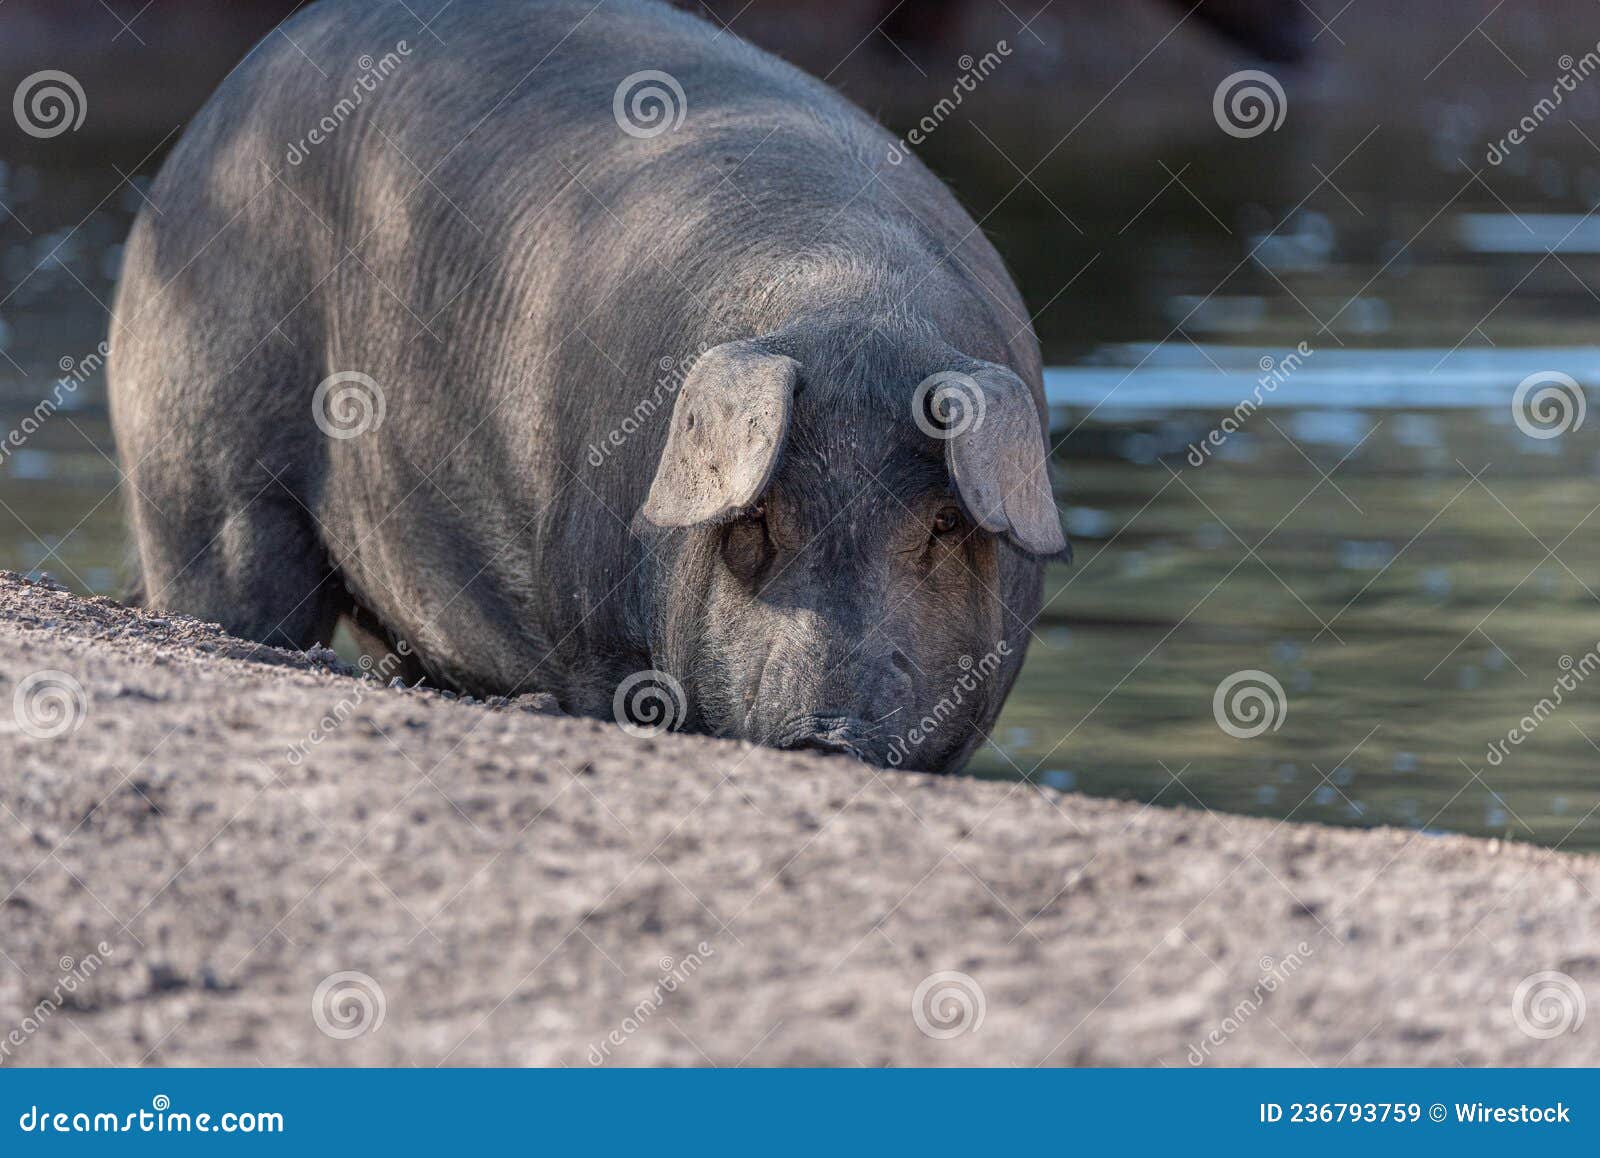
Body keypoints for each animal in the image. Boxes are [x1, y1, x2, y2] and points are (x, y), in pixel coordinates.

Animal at [107, 0, 1068, 773]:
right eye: (757, 518)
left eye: (943, 523)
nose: (831, 737)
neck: (852, 300)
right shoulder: (589, 622)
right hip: (205, 470)